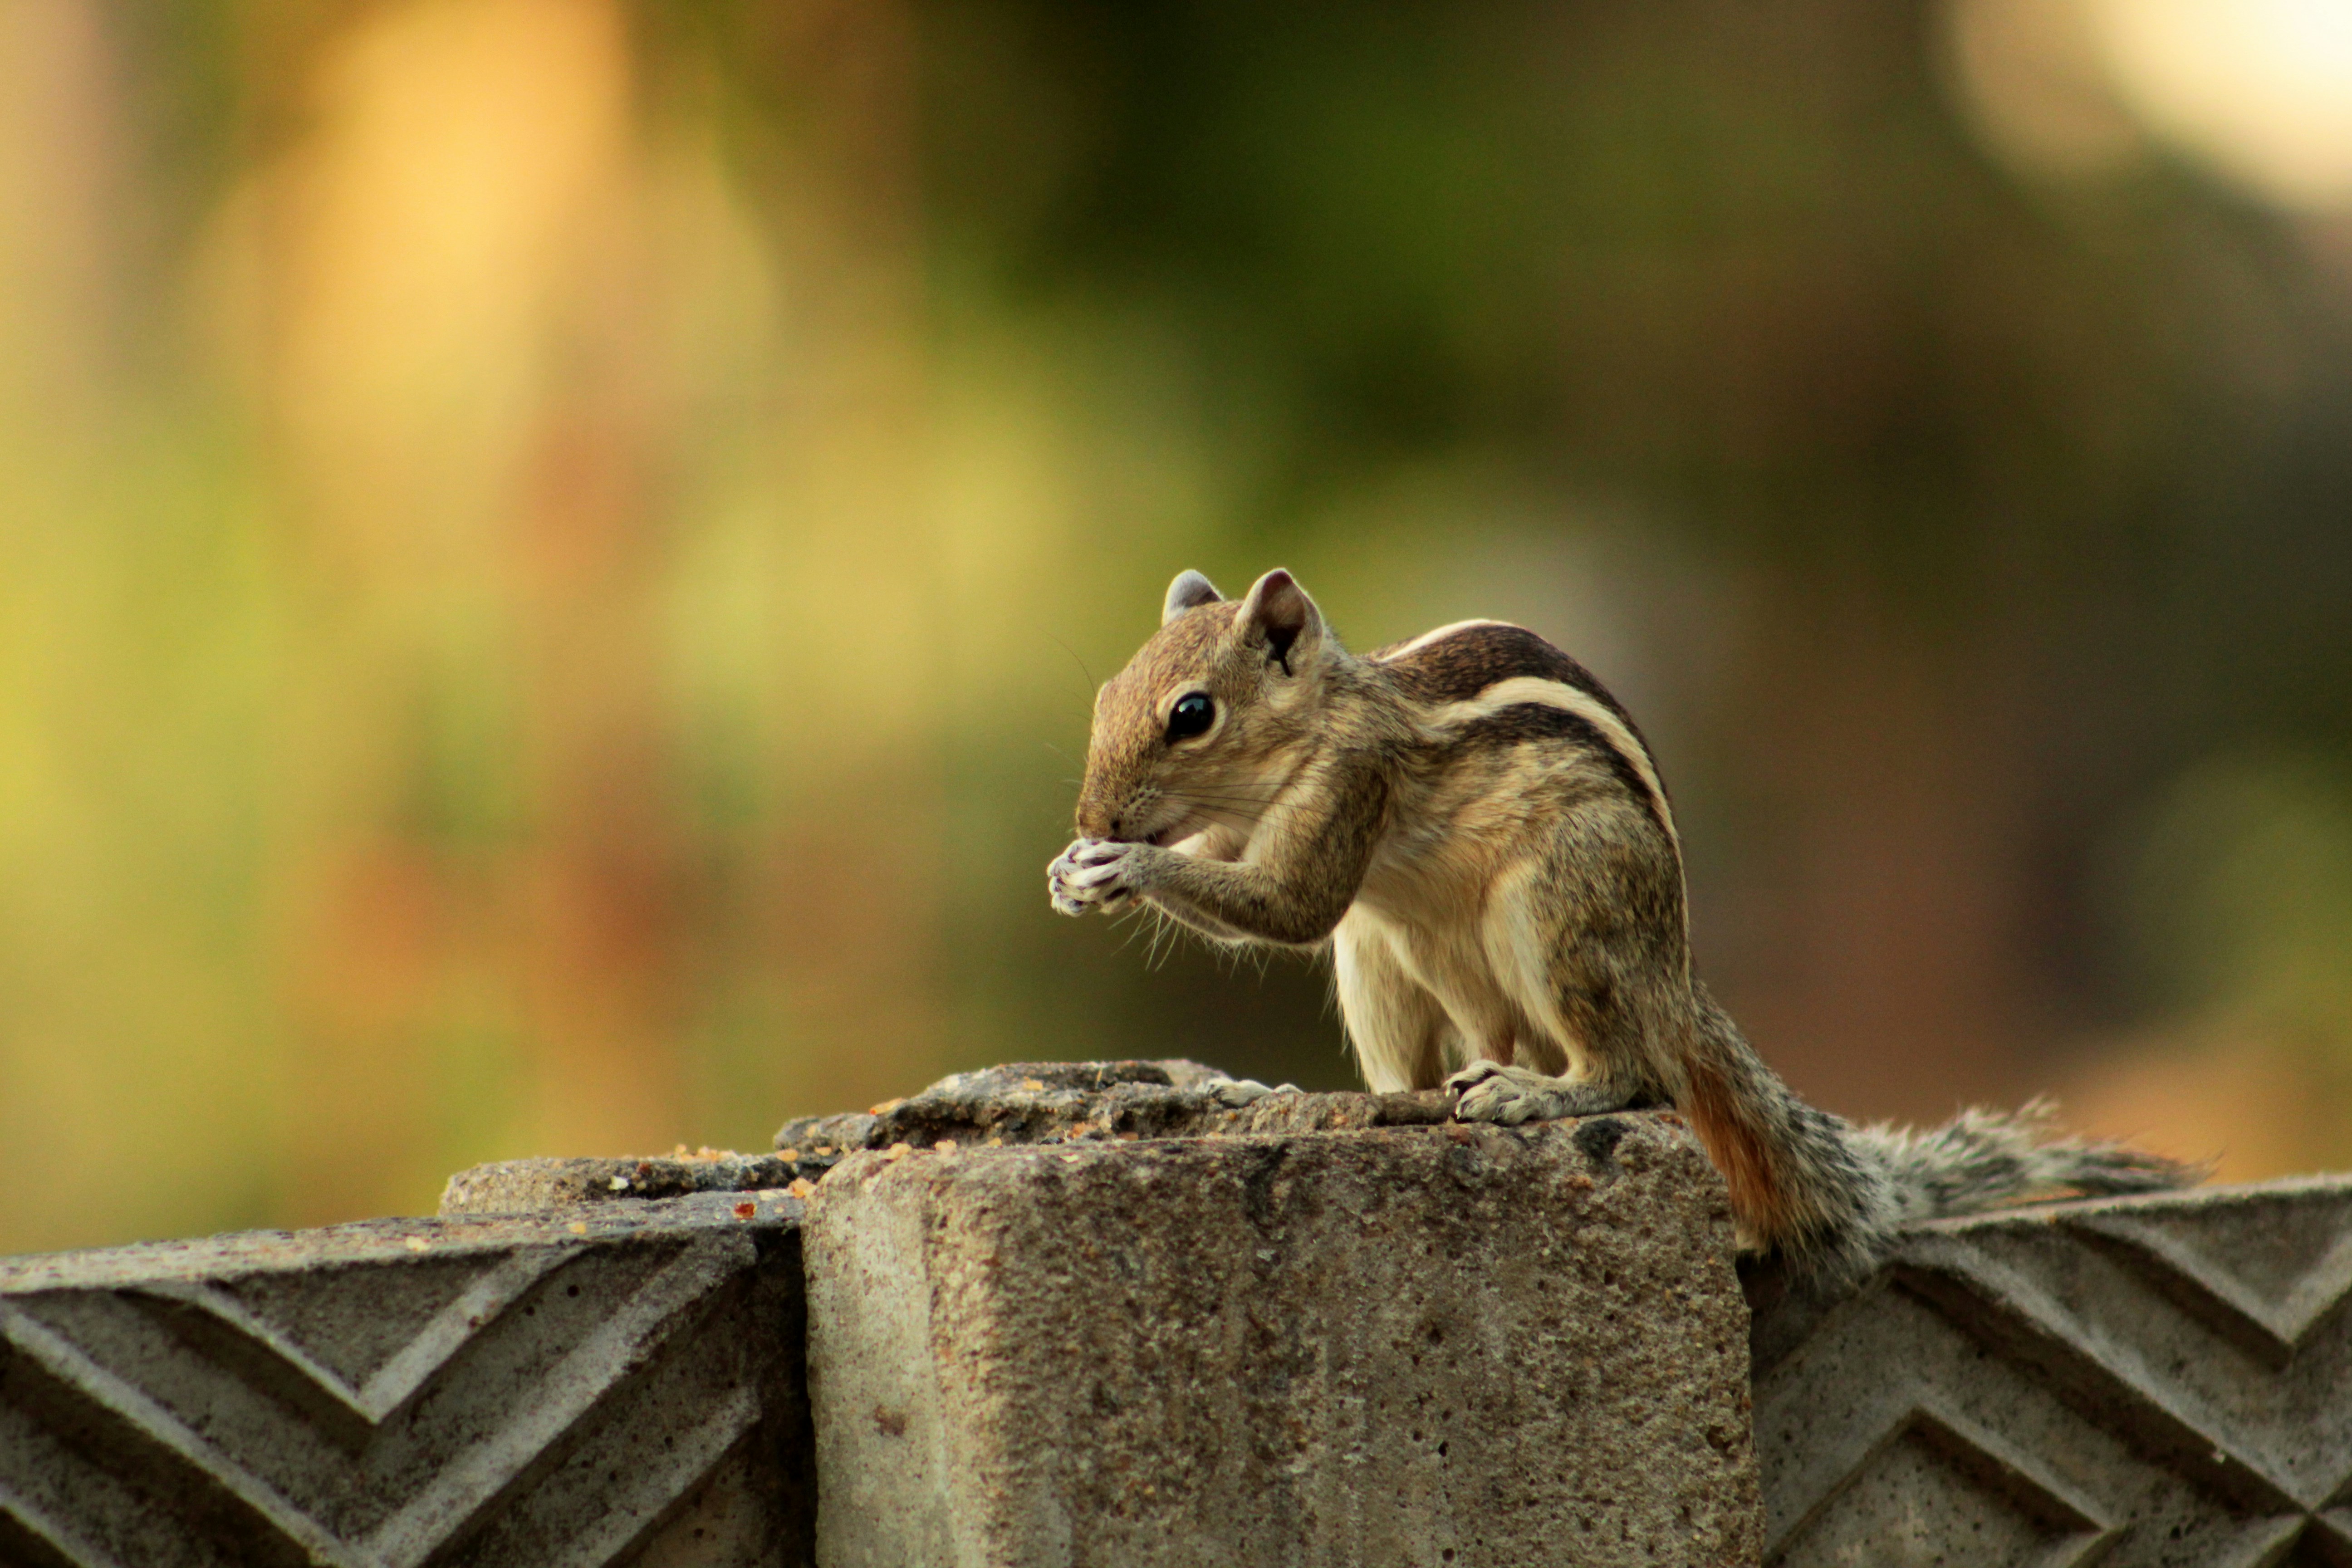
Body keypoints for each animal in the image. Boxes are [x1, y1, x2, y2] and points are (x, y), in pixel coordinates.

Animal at [1047, 566, 2196, 1283]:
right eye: (1103, 697)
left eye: (1192, 714)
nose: (1093, 817)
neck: (1321, 719)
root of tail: (1673, 979)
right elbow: (1245, 877)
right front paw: (1078, 872)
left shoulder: (1350, 783)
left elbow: (1290, 904)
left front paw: (1124, 864)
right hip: (1389, 959)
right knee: (1431, 1062)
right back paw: (1341, 1098)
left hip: (1557, 907)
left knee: (1626, 1072)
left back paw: (1533, 1094)